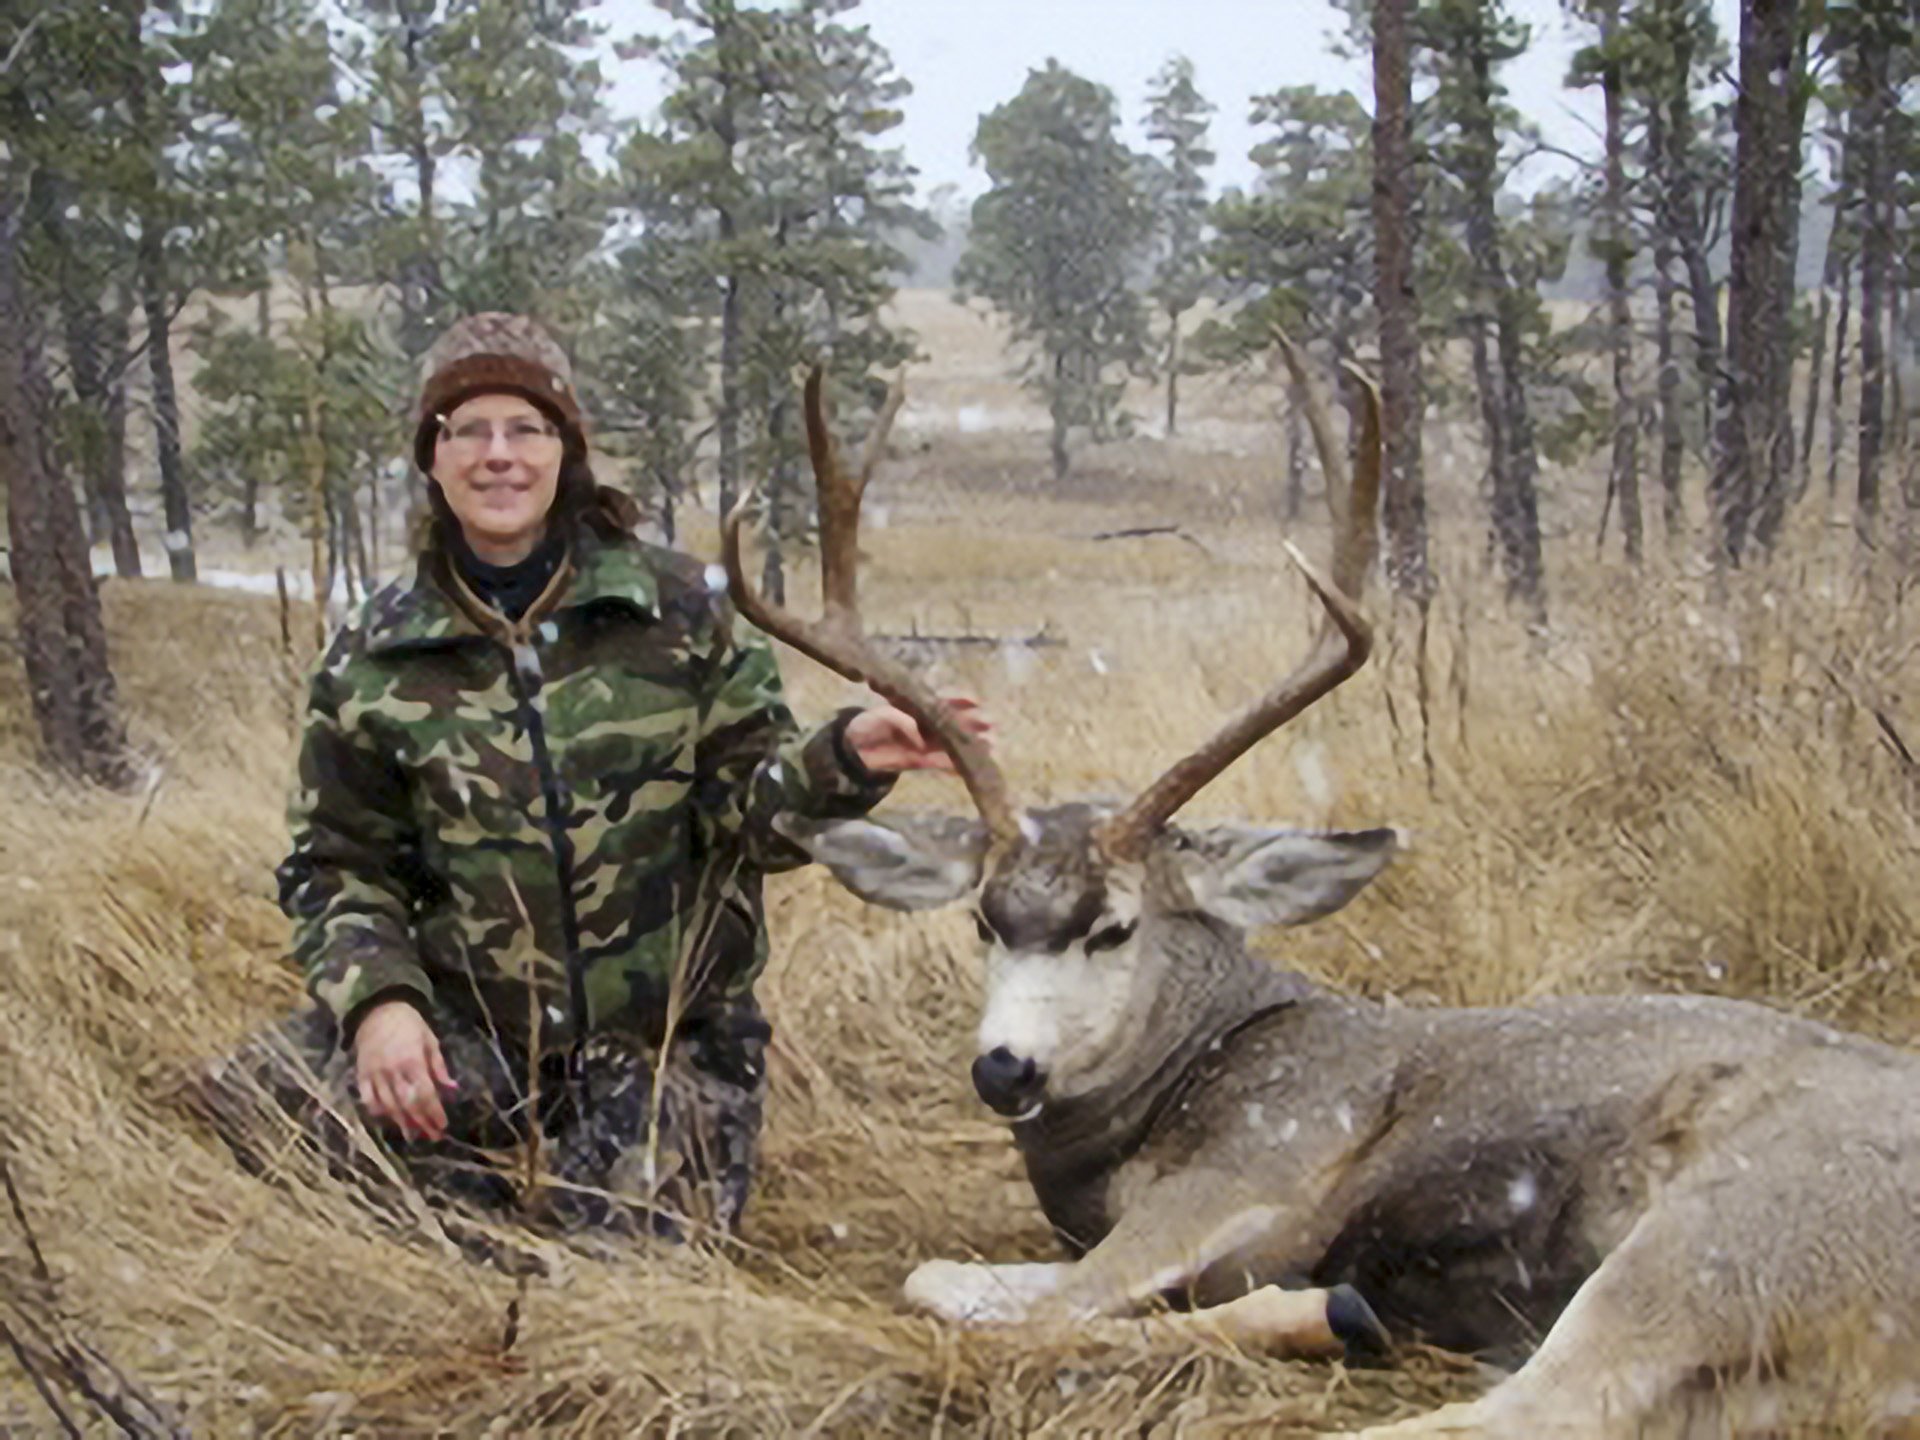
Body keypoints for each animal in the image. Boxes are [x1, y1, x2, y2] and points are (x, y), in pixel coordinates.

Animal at [722, 359, 1920, 1439]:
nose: (1003, 1068)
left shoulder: (1246, 1169)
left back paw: (1335, 1314)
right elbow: (952, 1280)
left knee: (1526, 1411)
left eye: (1114, 926)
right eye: (984, 918)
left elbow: (996, 1297)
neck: (1186, 1078)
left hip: (1730, 1231)